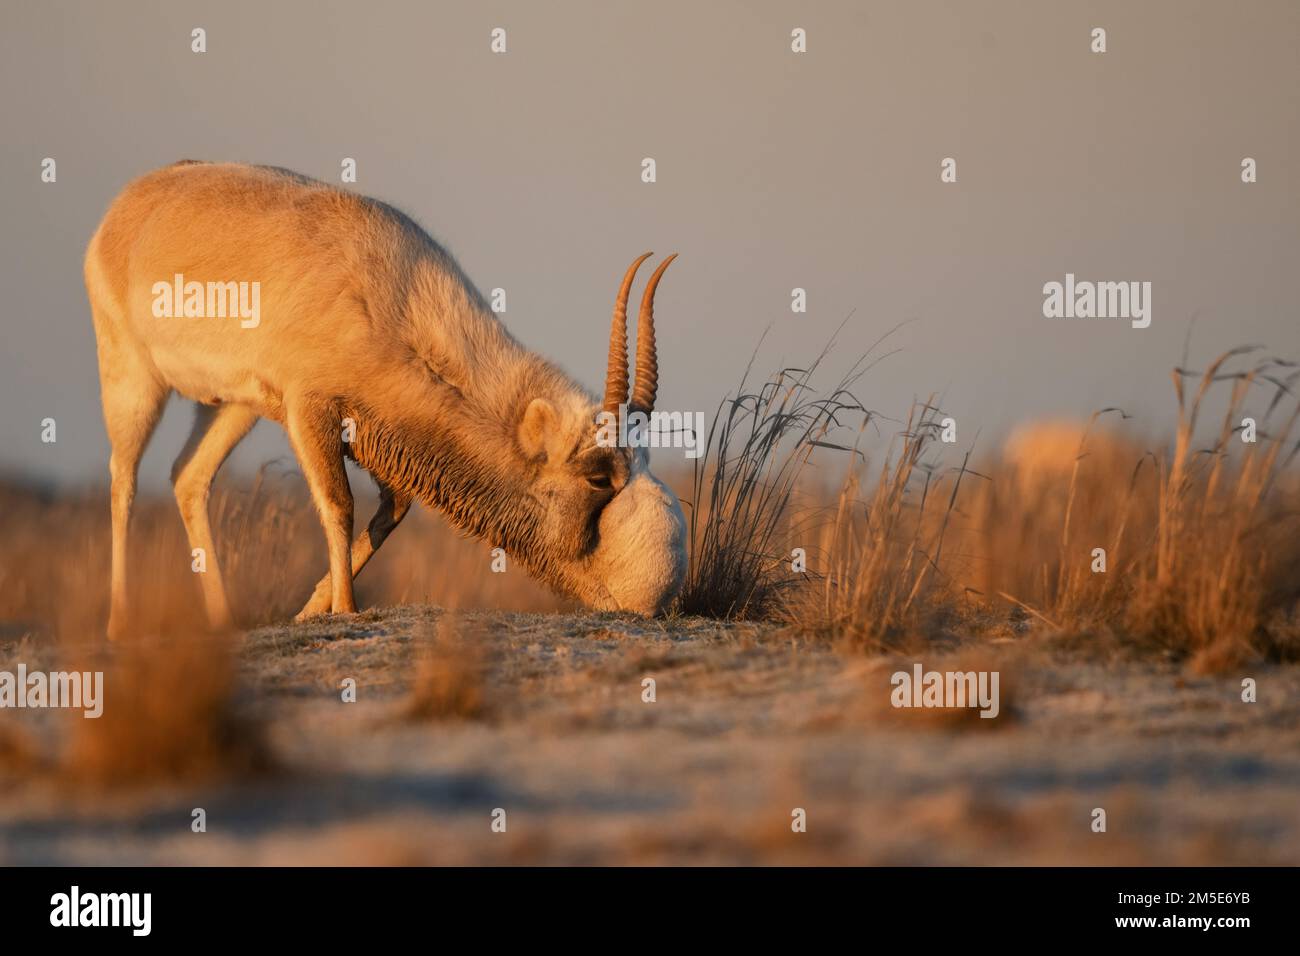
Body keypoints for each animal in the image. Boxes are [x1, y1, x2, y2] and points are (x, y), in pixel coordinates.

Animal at [85, 161, 688, 639]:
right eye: (598, 477)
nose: (650, 600)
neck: (394, 298)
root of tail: (128, 205)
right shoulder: (310, 408)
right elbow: (338, 505)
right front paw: (346, 610)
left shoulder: (373, 428)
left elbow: (391, 511)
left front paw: (311, 610)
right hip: (133, 377)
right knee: (123, 479)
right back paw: (118, 622)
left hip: (235, 405)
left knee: (188, 477)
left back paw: (220, 619)